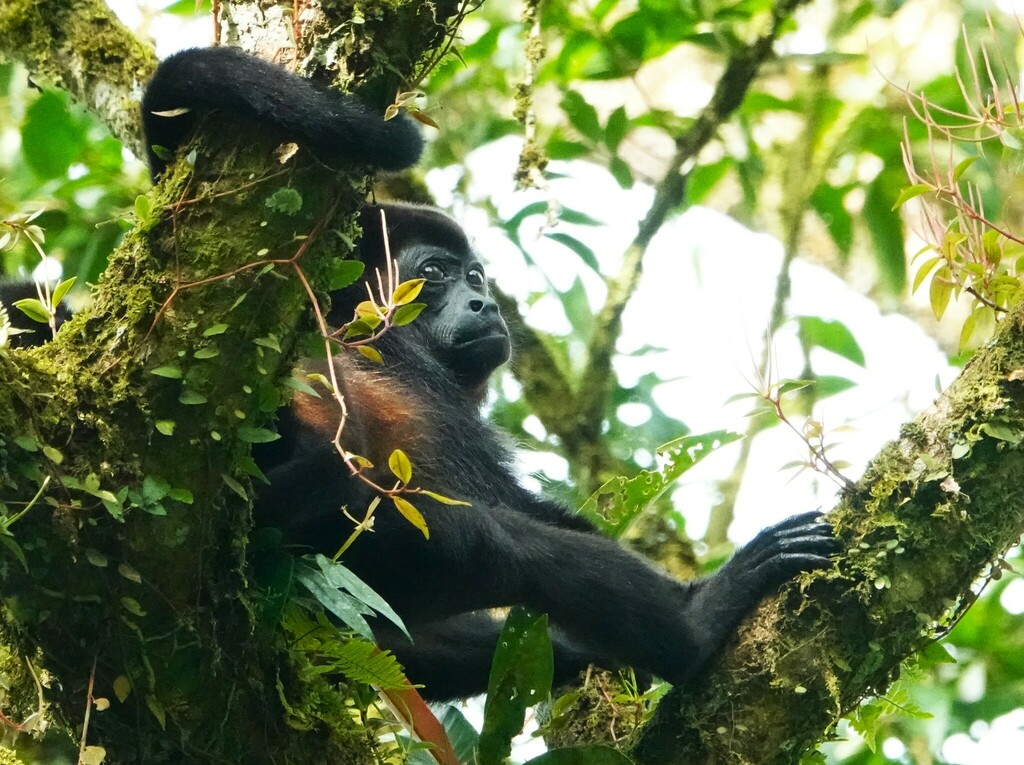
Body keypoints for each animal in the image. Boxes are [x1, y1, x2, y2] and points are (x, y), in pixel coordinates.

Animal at [1, 47, 838, 700]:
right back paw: (695, 627)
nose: (485, 301)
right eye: (434, 276)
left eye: (475, 274)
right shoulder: (410, 372)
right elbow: (490, 497)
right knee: (496, 545)